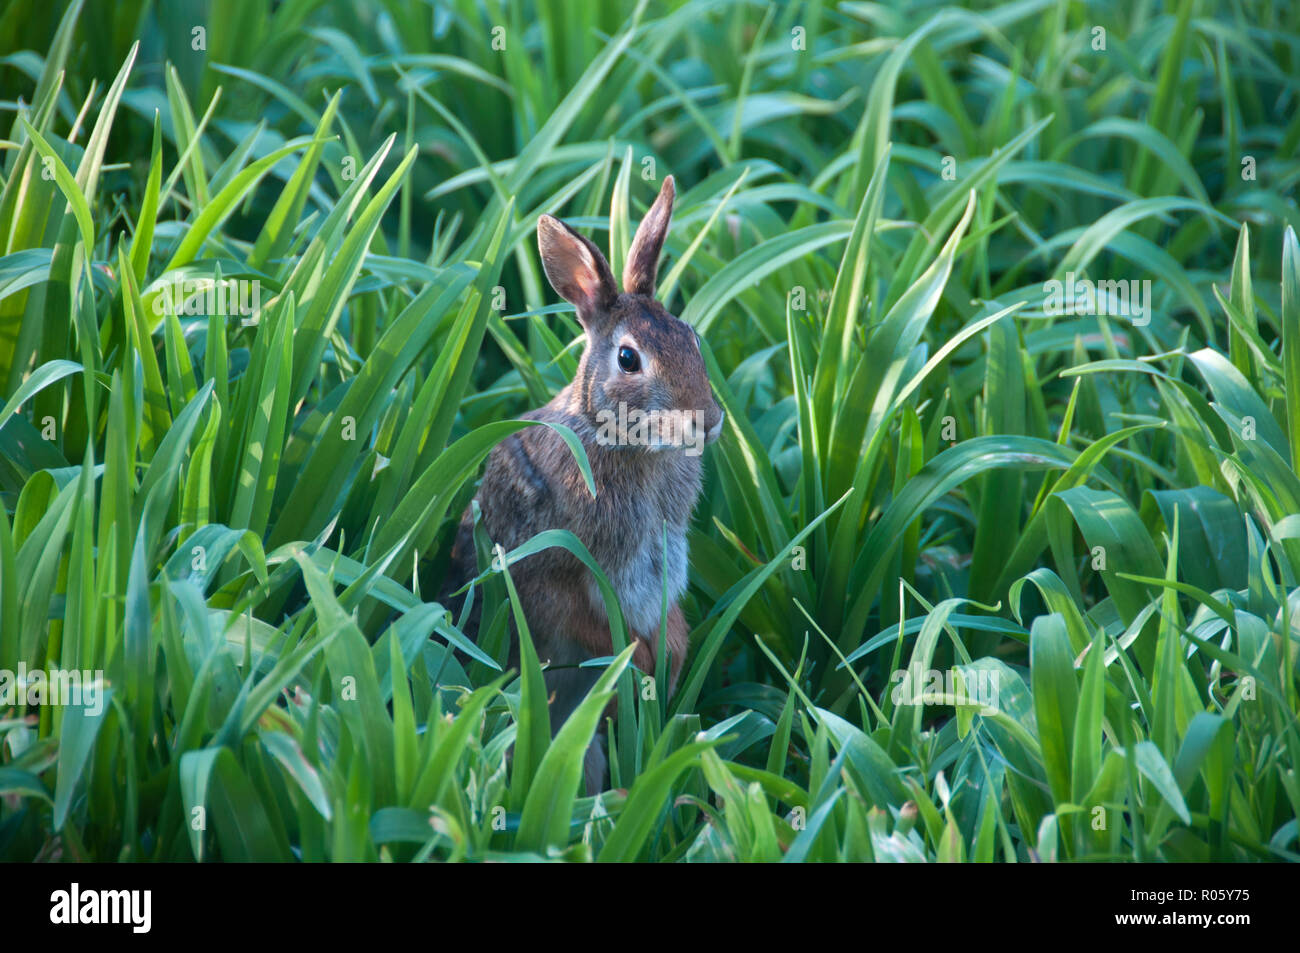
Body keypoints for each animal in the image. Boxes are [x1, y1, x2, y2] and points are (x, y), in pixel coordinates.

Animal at [440, 175, 724, 794]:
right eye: (628, 359)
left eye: (692, 339)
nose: (709, 421)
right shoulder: (558, 575)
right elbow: (588, 627)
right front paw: (637, 662)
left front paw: (668, 658)